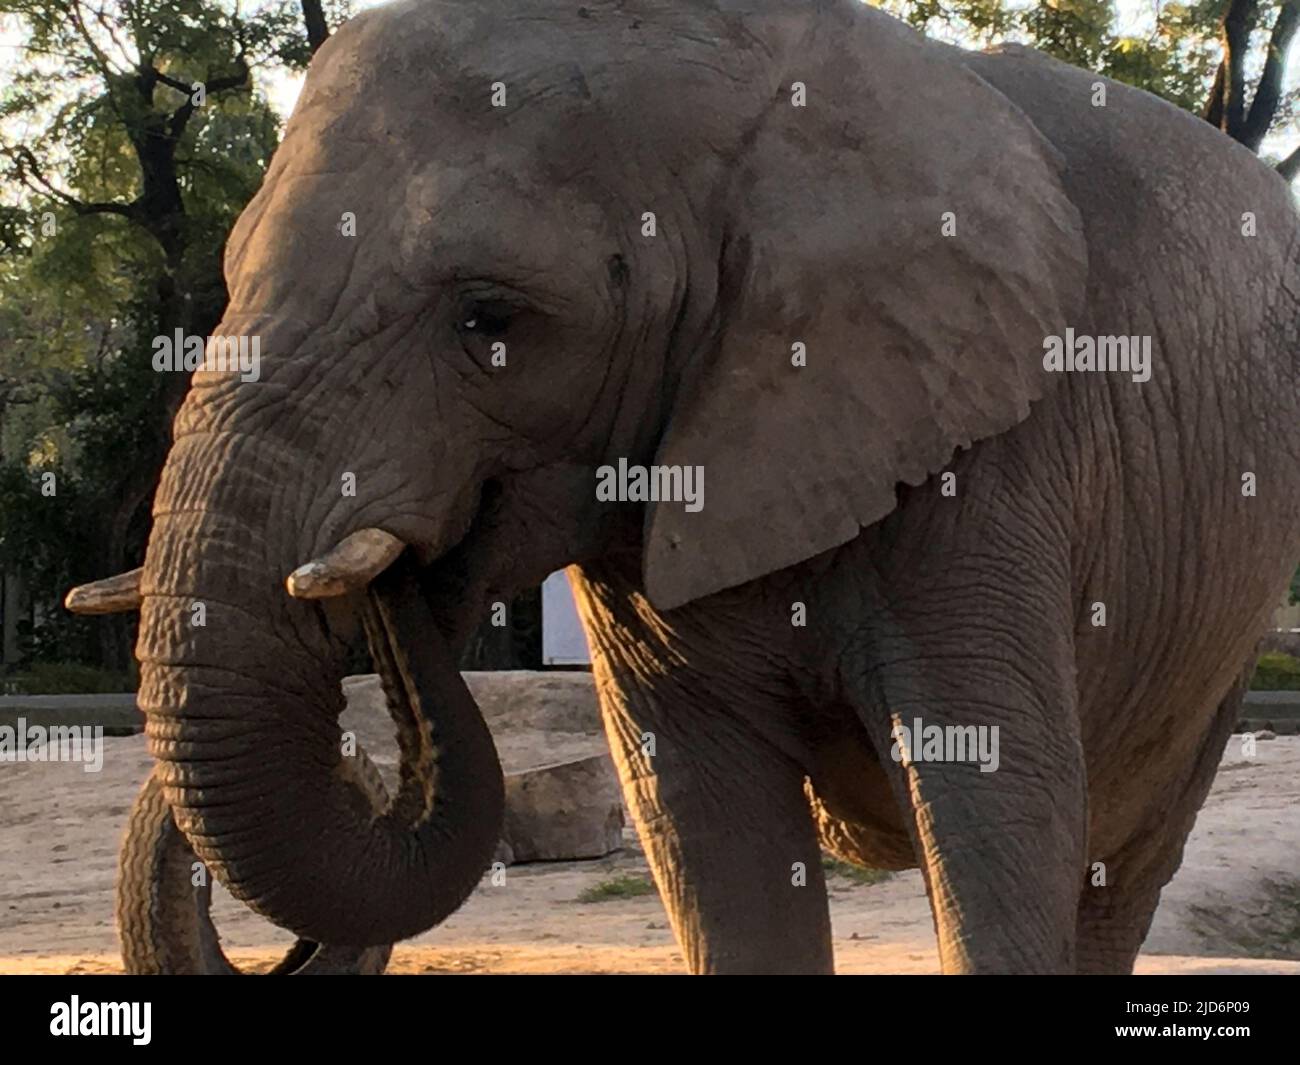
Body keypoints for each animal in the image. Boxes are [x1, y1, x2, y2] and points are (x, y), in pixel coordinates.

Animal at [67, 0, 1300, 974]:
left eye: (490, 319)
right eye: (227, 277)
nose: (384, 577)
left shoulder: (988, 455)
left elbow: (998, 805)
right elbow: (703, 827)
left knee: (1120, 855)